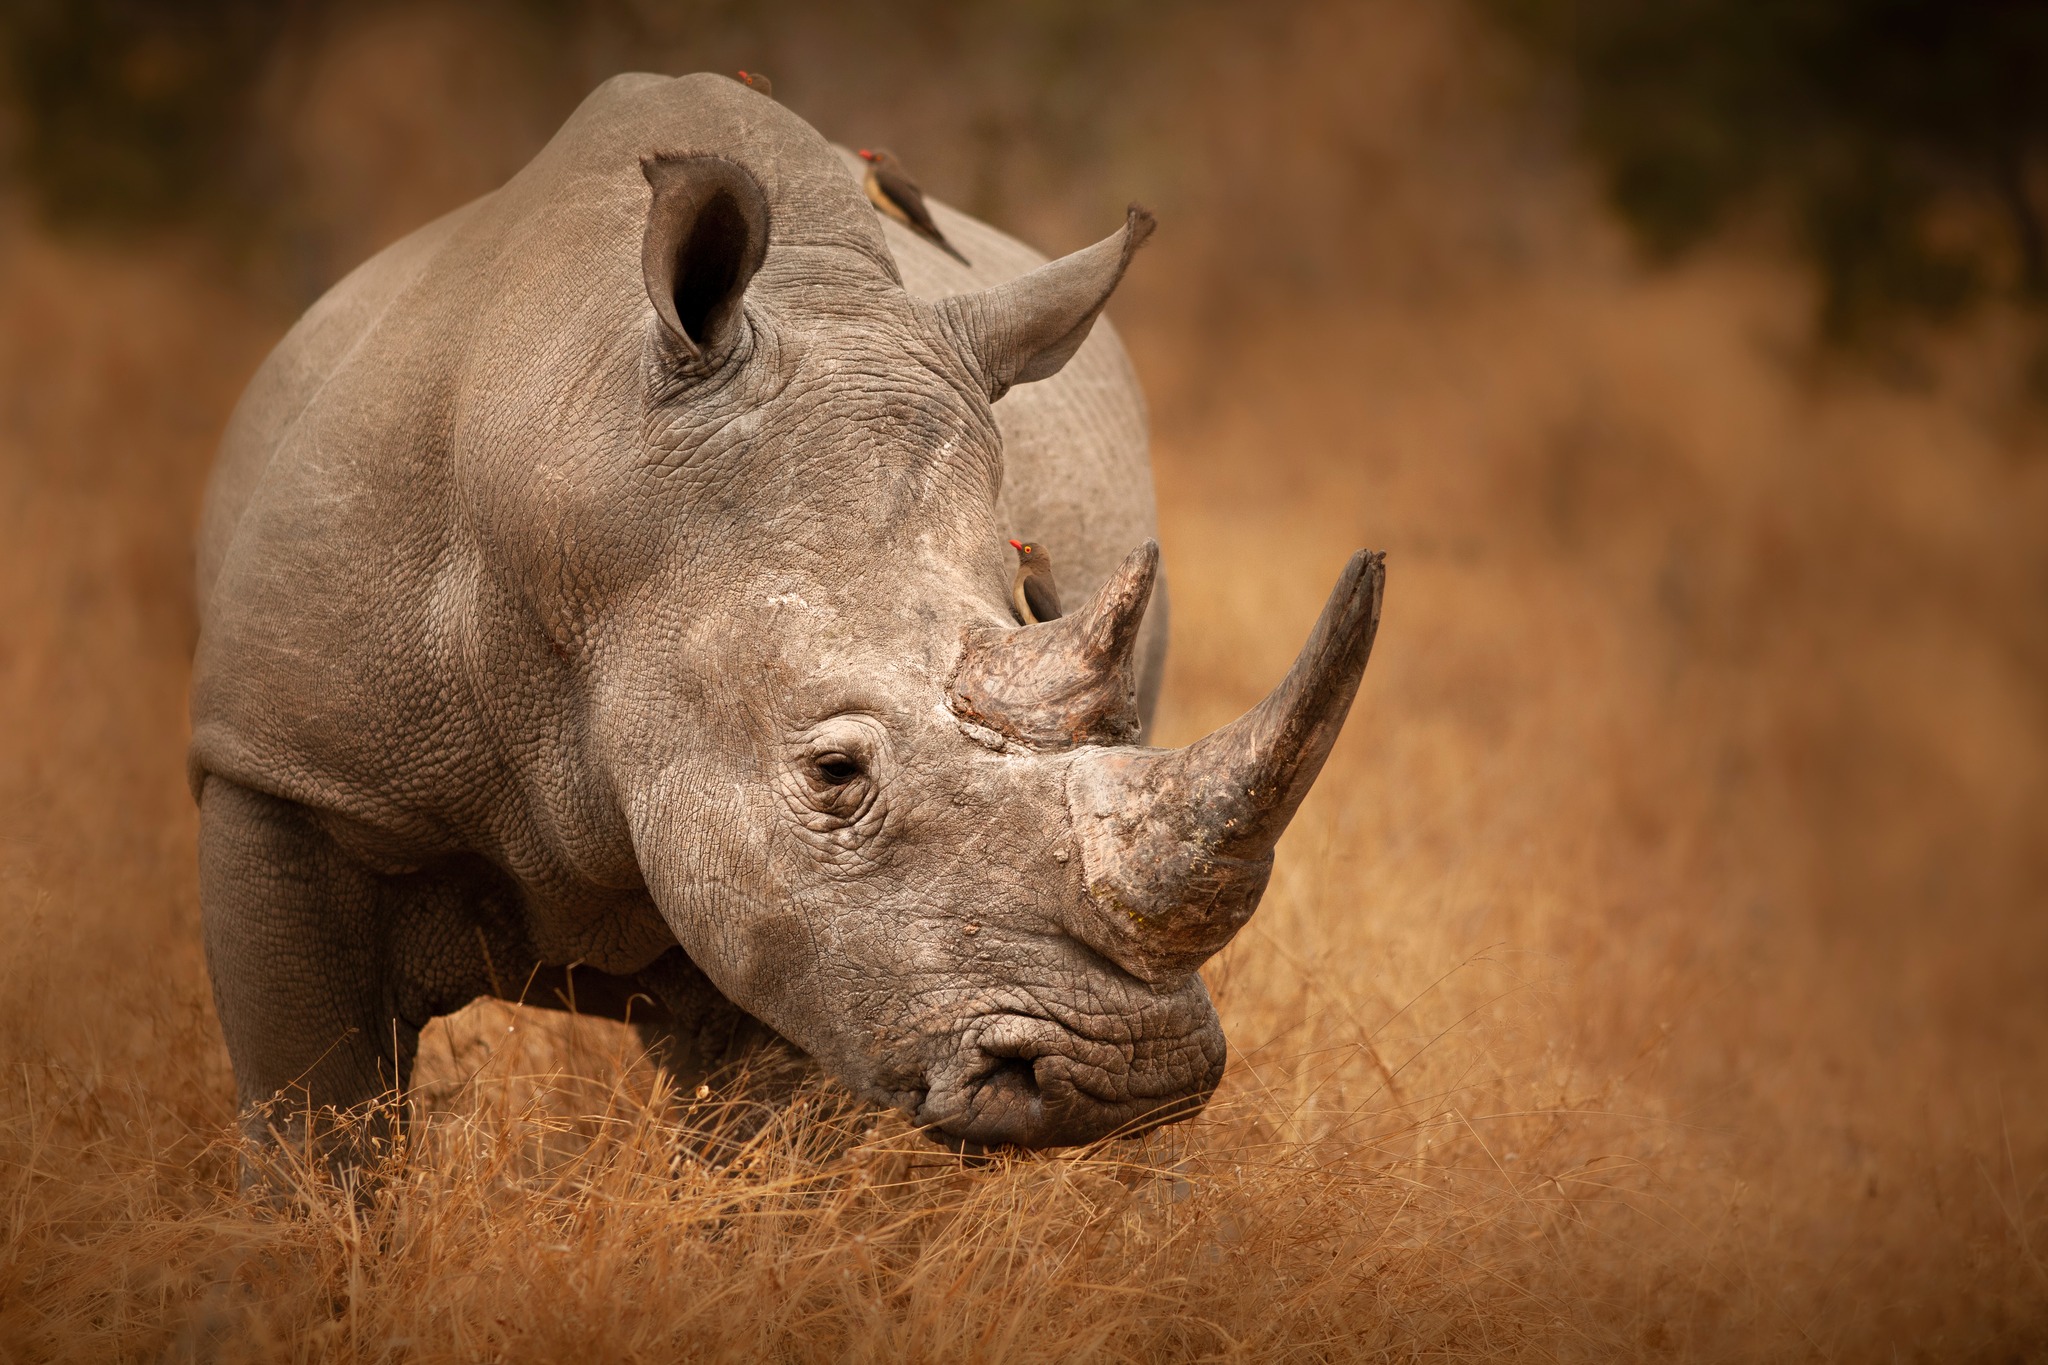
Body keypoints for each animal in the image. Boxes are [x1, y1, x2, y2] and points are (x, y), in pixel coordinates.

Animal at [190, 72, 1383, 1159]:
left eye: (1123, 721)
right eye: (833, 774)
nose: (1136, 1073)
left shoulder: (818, 937)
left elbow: (767, 1142)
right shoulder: (285, 773)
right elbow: (315, 1121)